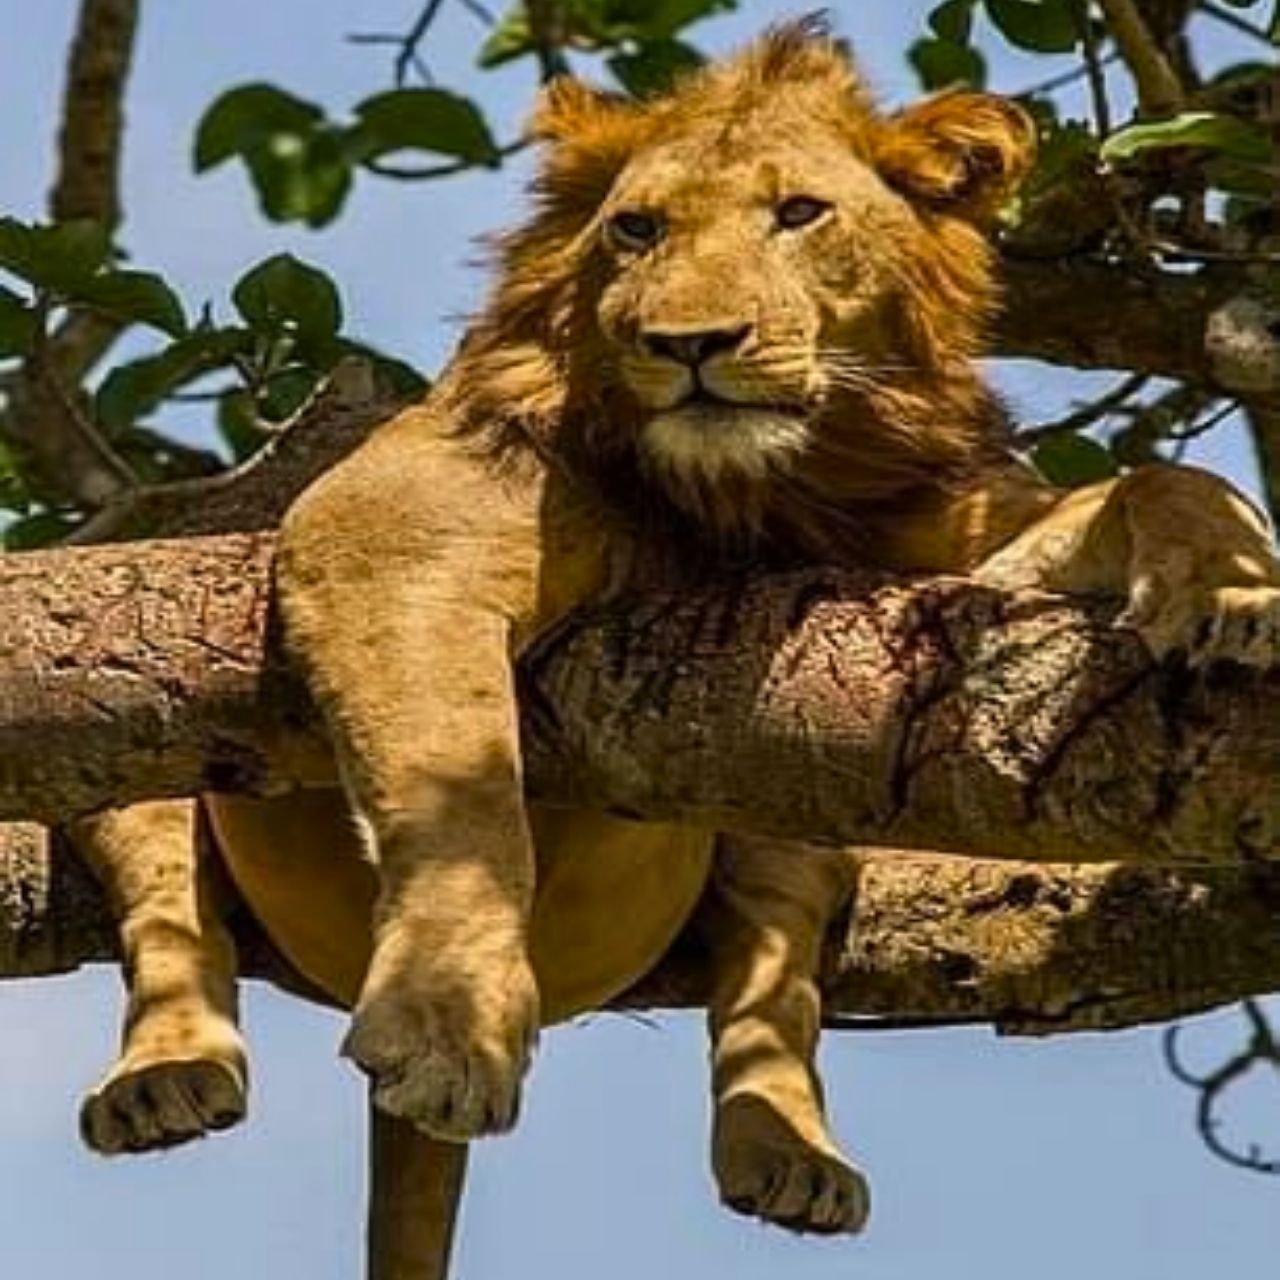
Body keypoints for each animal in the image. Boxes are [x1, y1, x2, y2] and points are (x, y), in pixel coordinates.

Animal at [72, 18, 1280, 1279]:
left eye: (797, 213)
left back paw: (783, 1149)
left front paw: (1232, 586)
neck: (760, 486)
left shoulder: (956, 537)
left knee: (771, 965)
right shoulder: (386, 528)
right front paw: (450, 1025)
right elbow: (466, 800)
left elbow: (1162, 480)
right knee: (168, 907)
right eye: (636, 229)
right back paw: (168, 1075)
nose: (690, 343)